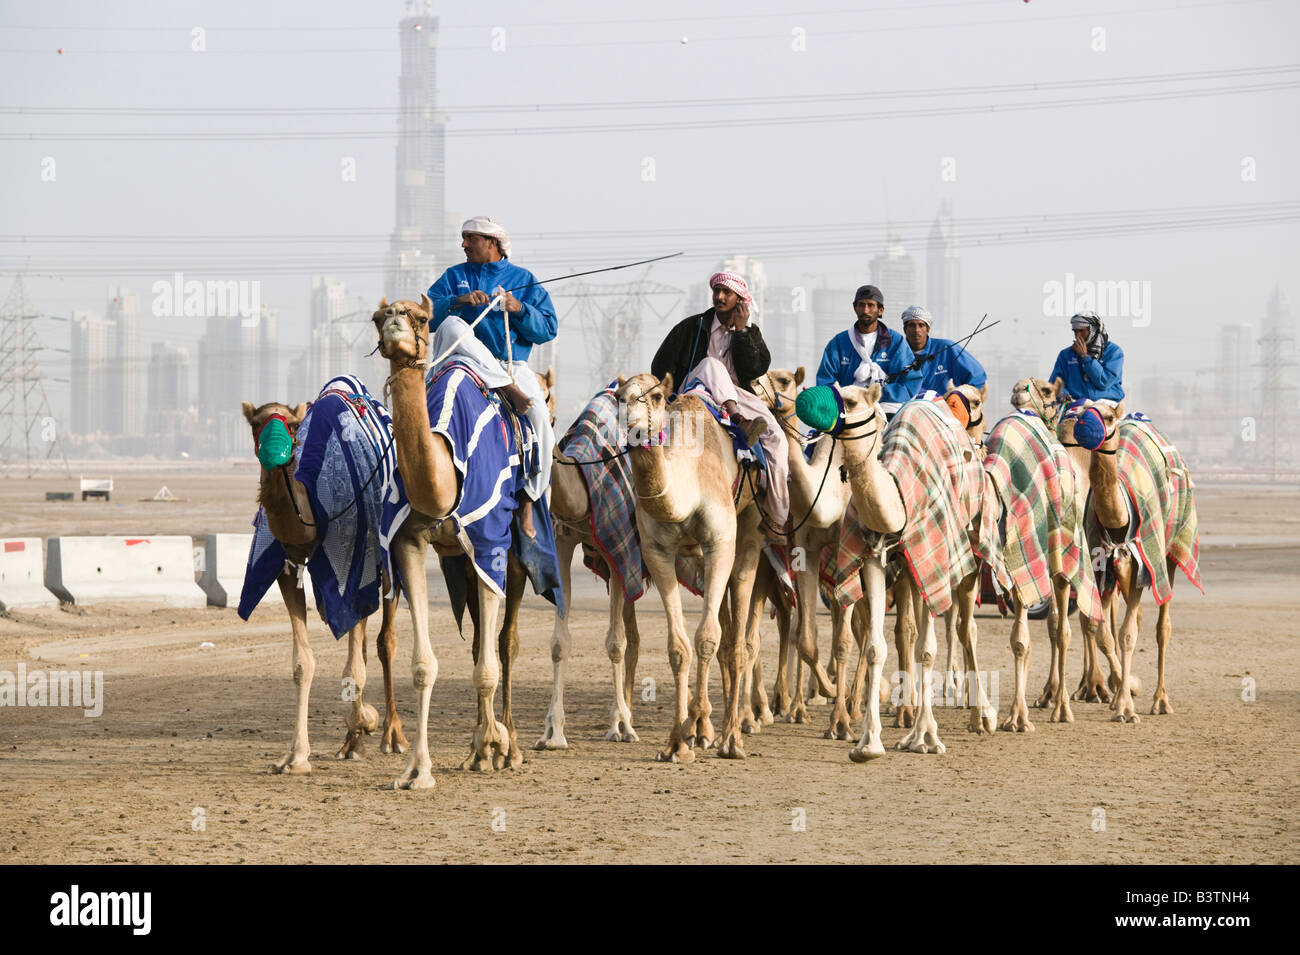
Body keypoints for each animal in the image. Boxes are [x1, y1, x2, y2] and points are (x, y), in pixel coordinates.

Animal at [240, 399, 406, 774]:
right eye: (256, 423)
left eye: (291, 424)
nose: (274, 450)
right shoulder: (286, 569)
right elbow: (302, 663)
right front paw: (295, 757)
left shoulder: (355, 571)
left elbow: (355, 666)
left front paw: (366, 719)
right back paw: (350, 743)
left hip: (389, 556)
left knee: (385, 641)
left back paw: (391, 735)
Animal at [373, 295, 535, 788]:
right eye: (378, 317)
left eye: (421, 317)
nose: (394, 323)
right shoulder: (409, 542)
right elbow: (424, 665)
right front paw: (416, 770)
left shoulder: (489, 544)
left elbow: (488, 668)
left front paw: (497, 746)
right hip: (460, 561)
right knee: (481, 640)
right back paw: (478, 749)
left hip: (512, 551)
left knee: (504, 643)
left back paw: (508, 746)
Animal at [615, 372, 766, 761]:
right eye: (620, 396)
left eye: (655, 397)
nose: (632, 423)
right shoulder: (657, 552)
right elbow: (679, 647)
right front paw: (678, 741)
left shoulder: (719, 543)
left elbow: (707, 638)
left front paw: (700, 725)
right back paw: (708, 728)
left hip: (748, 532)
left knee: (738, 635)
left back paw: (731, 736)